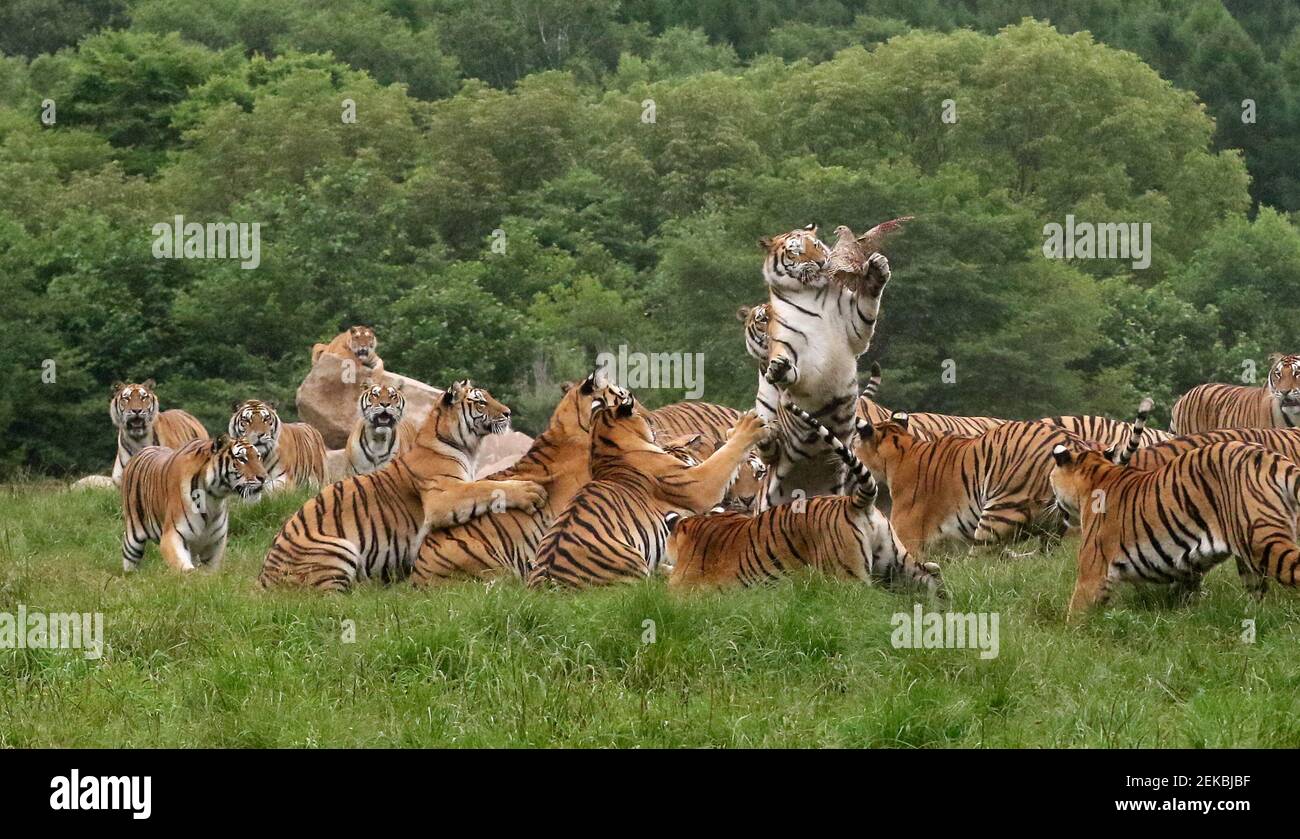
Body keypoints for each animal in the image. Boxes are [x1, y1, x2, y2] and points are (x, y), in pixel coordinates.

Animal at [120, 435, 267, 573]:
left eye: (258, 457)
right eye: (241, 459)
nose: (264, 477)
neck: (213, 498)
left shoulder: (215, 543)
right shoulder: (172, 535)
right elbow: (185, 569)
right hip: (133, 538)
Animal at [259, 381, 548, 592]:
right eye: (481, 401)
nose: (508, 413)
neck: (464, 447)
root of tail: (263, 577)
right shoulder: (445, 495)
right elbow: (487, 487)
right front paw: (530, 491)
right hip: (340, 548)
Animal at [527, 392, 770, 589]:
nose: (654, 424)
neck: (603, 447)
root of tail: (547, 582)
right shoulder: (700, 483)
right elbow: (725, 455)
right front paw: (747, 426)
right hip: (633, 562)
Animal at [754, 224, 892, 509]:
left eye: (816, 245)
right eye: (796, 251)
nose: (820, 262)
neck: (811, 294)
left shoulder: (855, 326)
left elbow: (865, 309)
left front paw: (876, 270)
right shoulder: (785, 341)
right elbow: (786, 362)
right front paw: (780, 369)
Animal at [1049, 441, 1300, 620]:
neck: (1097, 472)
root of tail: (1270, 457)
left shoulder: (1093, 572)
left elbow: (1076, 614)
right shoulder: (1188, 571)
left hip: (1263, 540)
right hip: (1250, 562)